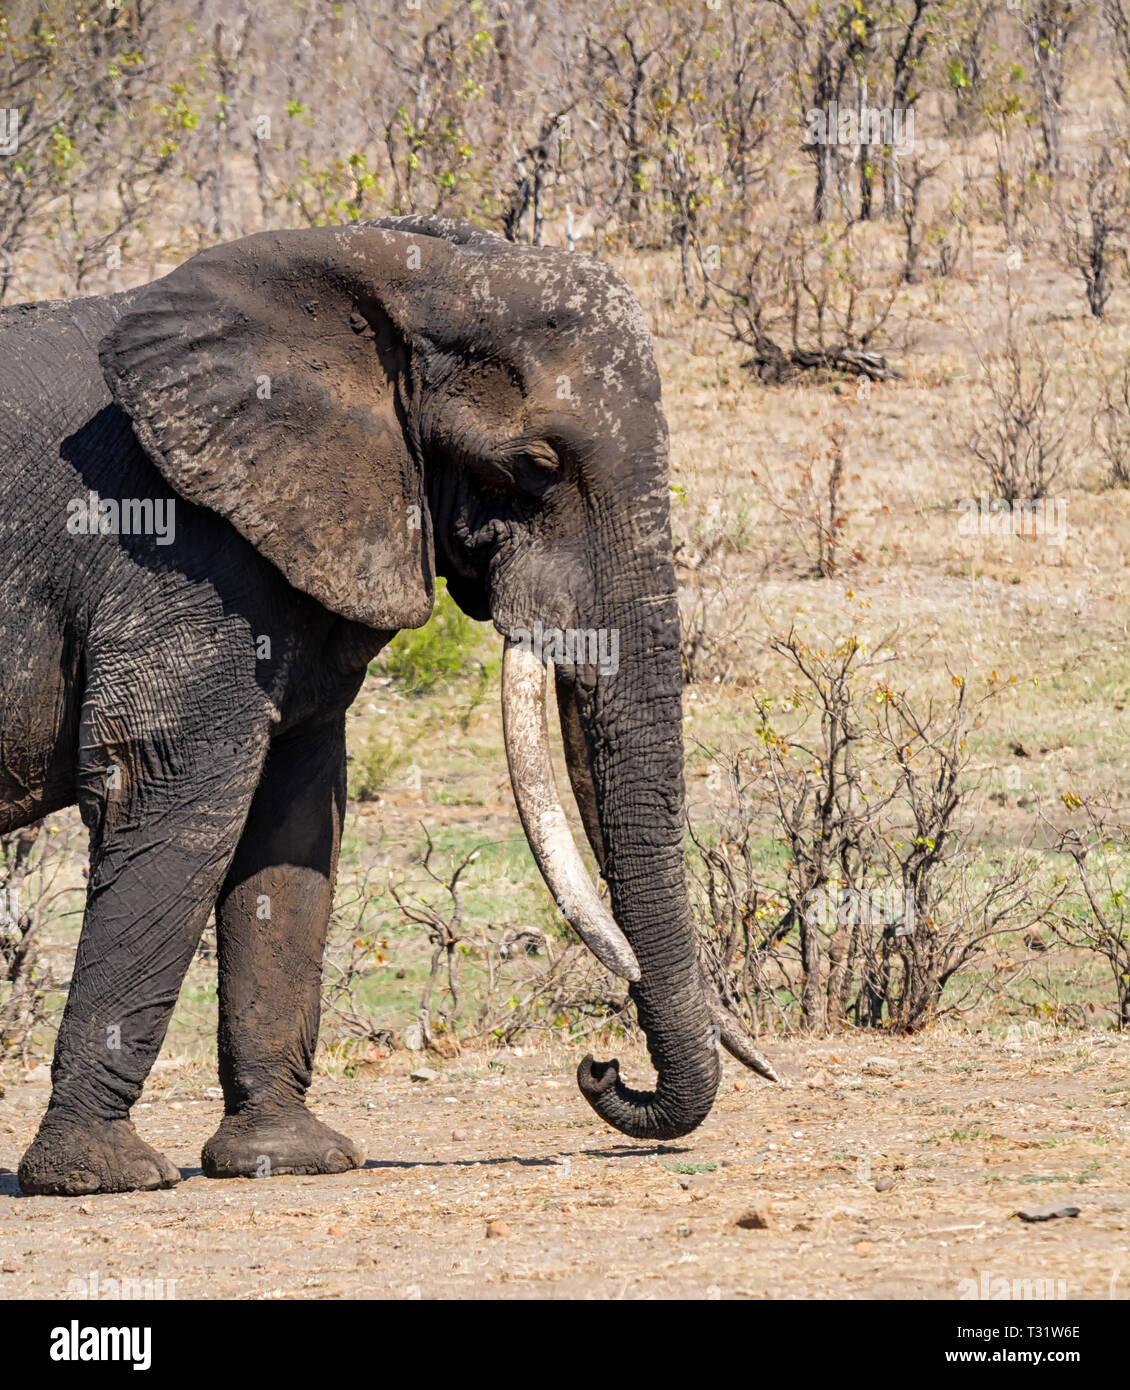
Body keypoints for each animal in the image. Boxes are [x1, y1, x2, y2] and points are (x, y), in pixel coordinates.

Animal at [0, 216, 766, 1197]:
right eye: (537, 465)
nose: (601, 1066)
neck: (390, 273)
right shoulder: (169, 554)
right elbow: (173, 793)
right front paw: (101, 1177)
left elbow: (293, 821)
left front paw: (287, 1160)